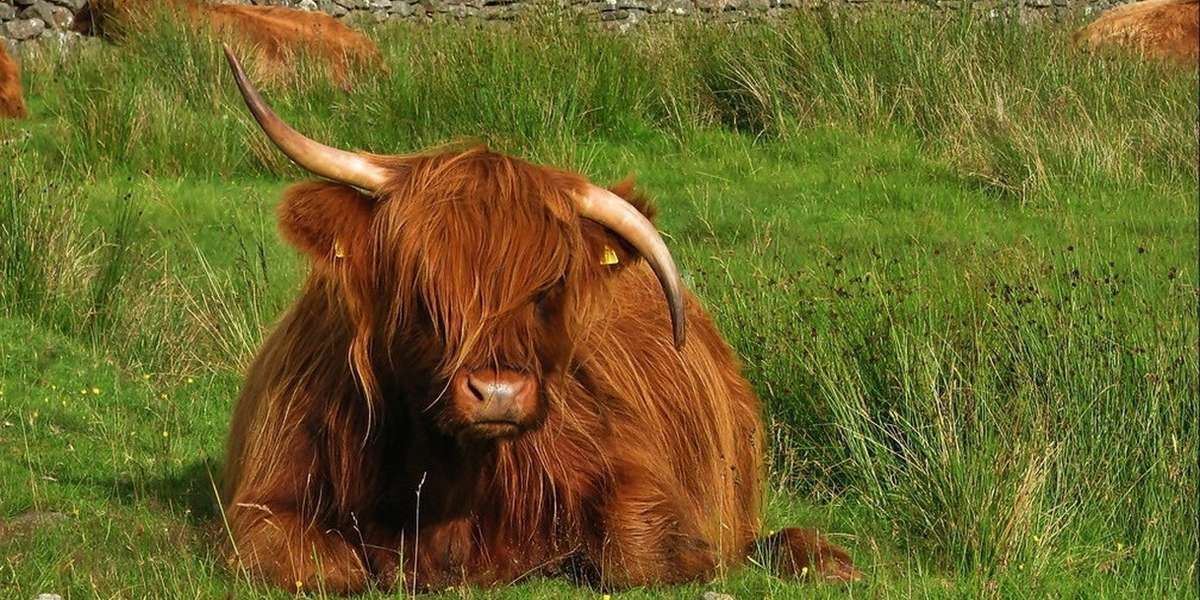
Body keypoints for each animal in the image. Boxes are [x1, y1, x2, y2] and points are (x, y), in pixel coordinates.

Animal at [218, 46, 860, 595]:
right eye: (420, 285)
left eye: (548, 289)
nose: (498, 392)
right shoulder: (264, 498)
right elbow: (322, 566)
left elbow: (640, 551)